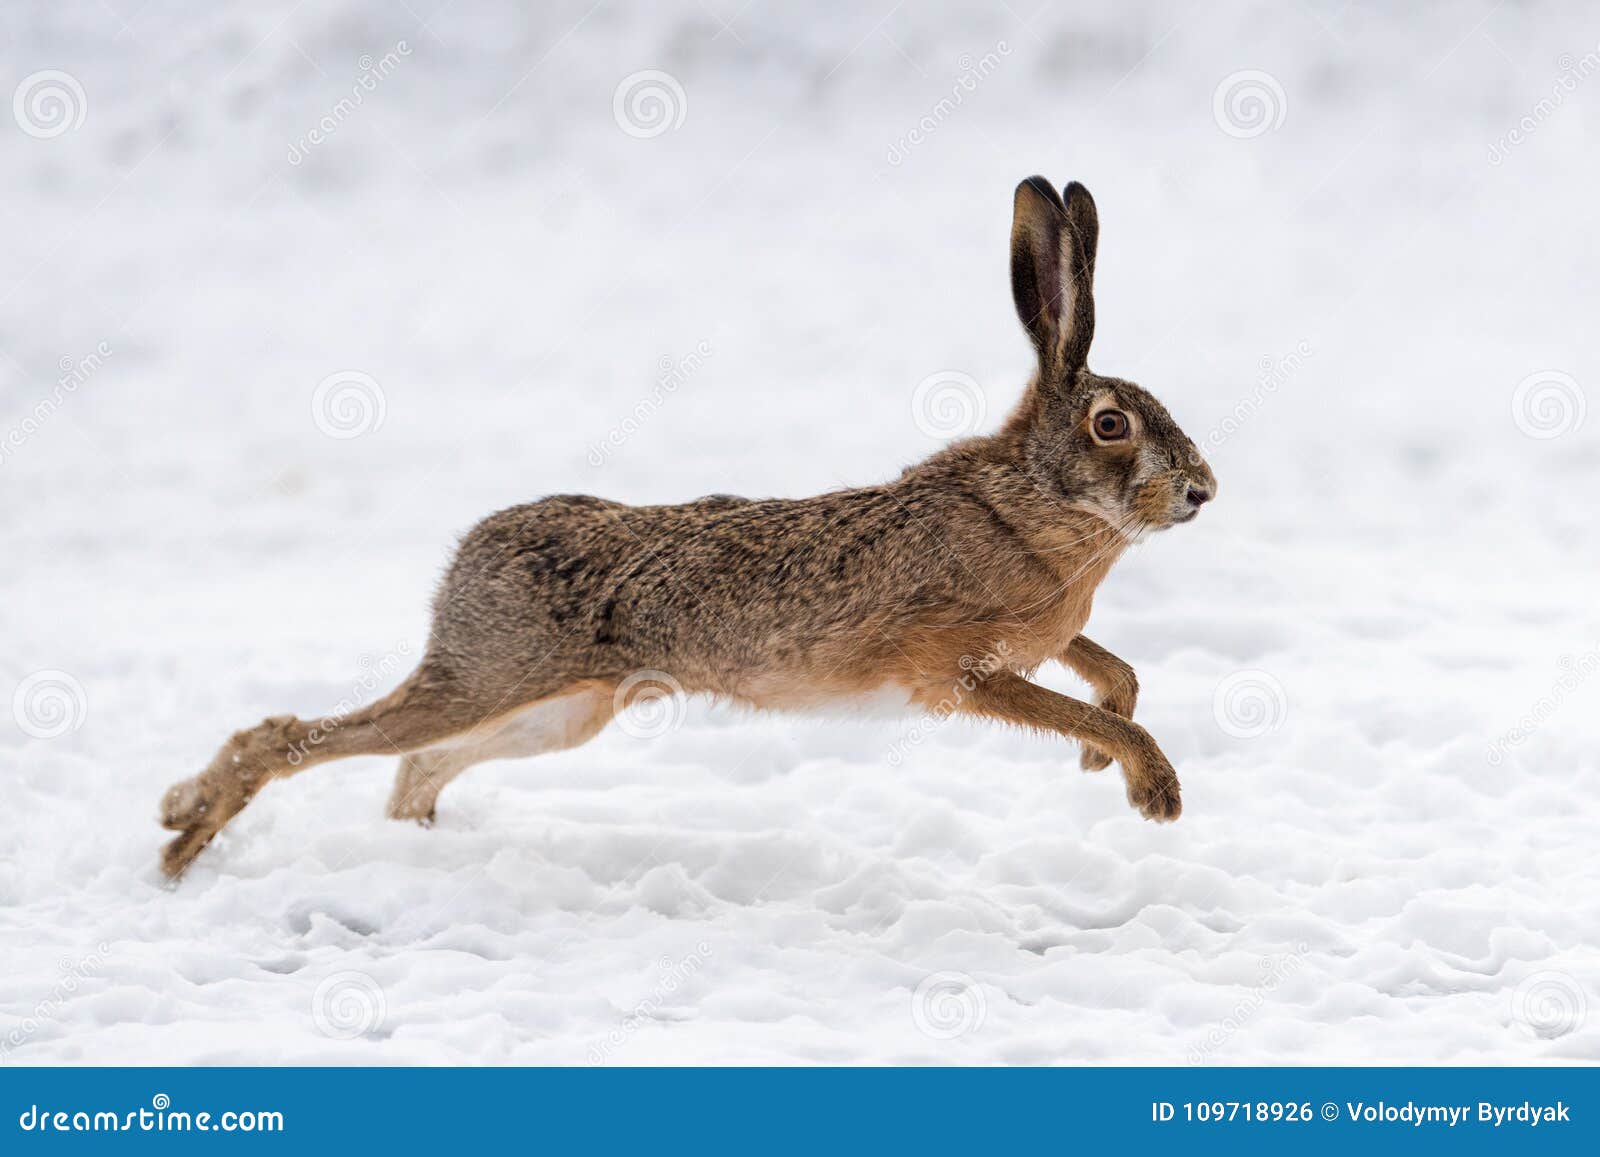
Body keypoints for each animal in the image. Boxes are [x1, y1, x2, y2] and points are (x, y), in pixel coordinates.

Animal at [159, 176, 1217, 879]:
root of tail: (470, 552)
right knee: (296, 736)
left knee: (418, 764)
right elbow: (1092, 701)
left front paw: (1099, 759)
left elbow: (1115, 670)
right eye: (1112, 425)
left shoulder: (1044, 635)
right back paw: (183, 831)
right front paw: (1151, 789)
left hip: (565, 708)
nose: (1202, 490)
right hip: (490, 675)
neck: (1032, 501)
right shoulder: (961, 670)